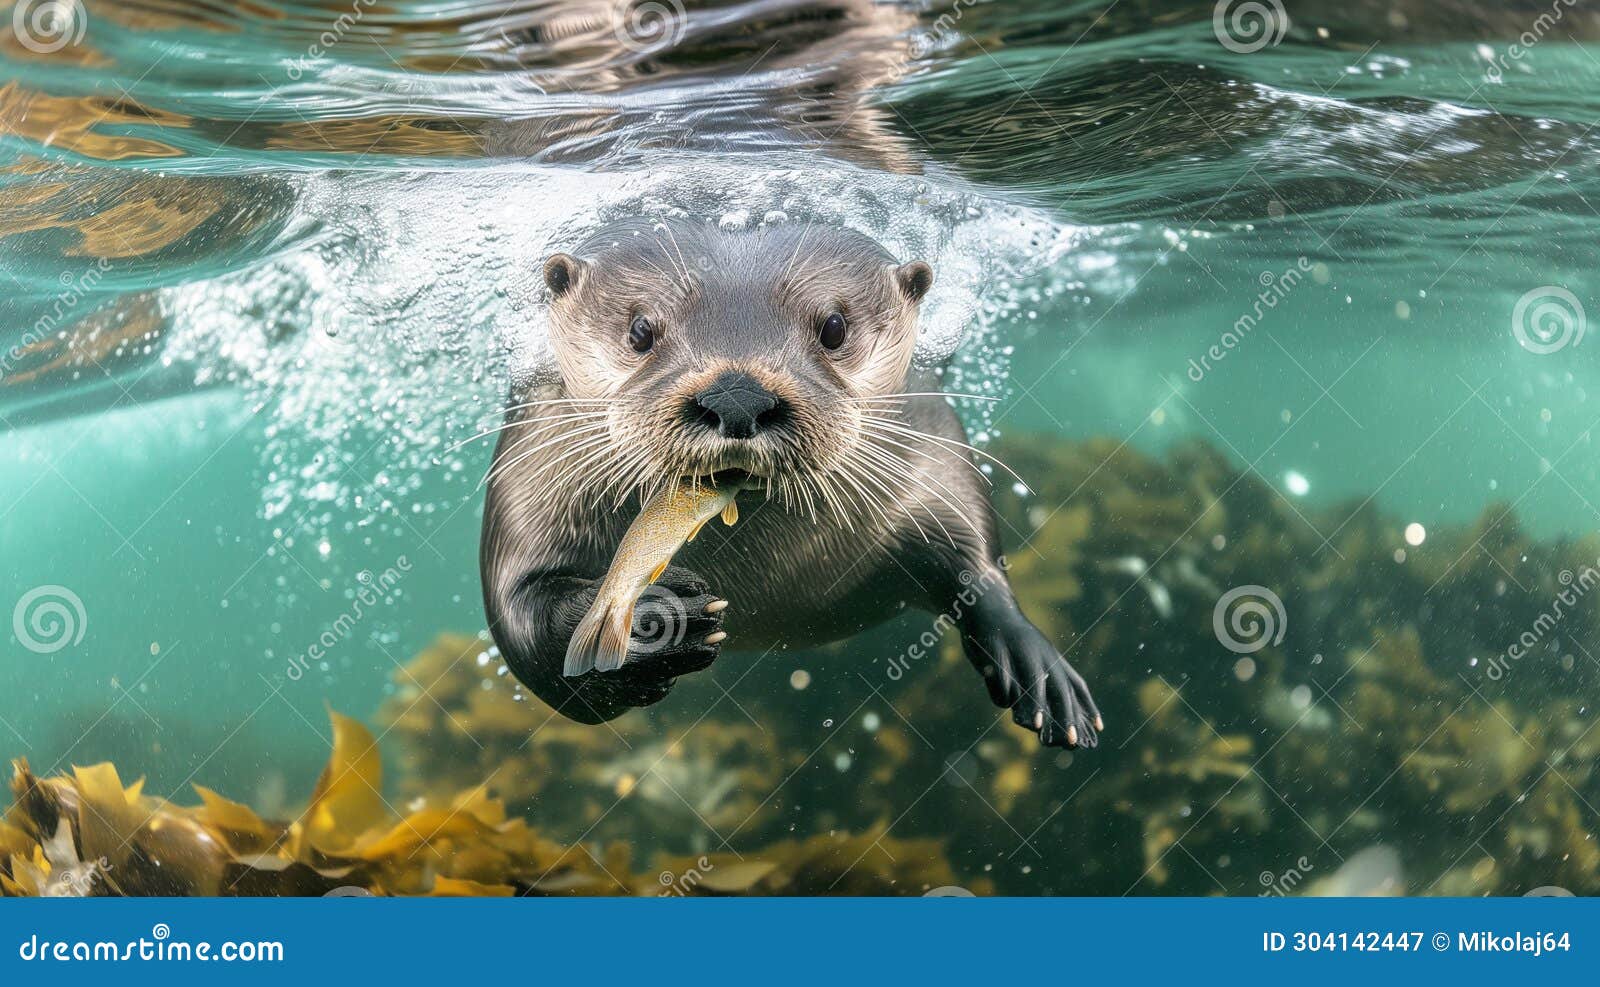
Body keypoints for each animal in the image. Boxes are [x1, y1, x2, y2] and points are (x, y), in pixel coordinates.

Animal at [480, 219, 1102, 749]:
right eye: (639, 330)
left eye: (834, 327)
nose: (737, 394)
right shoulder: (526, 471)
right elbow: (521, 621)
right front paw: (661, 617)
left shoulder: (936, 449)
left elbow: (979, 567)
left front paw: (1042, 674)